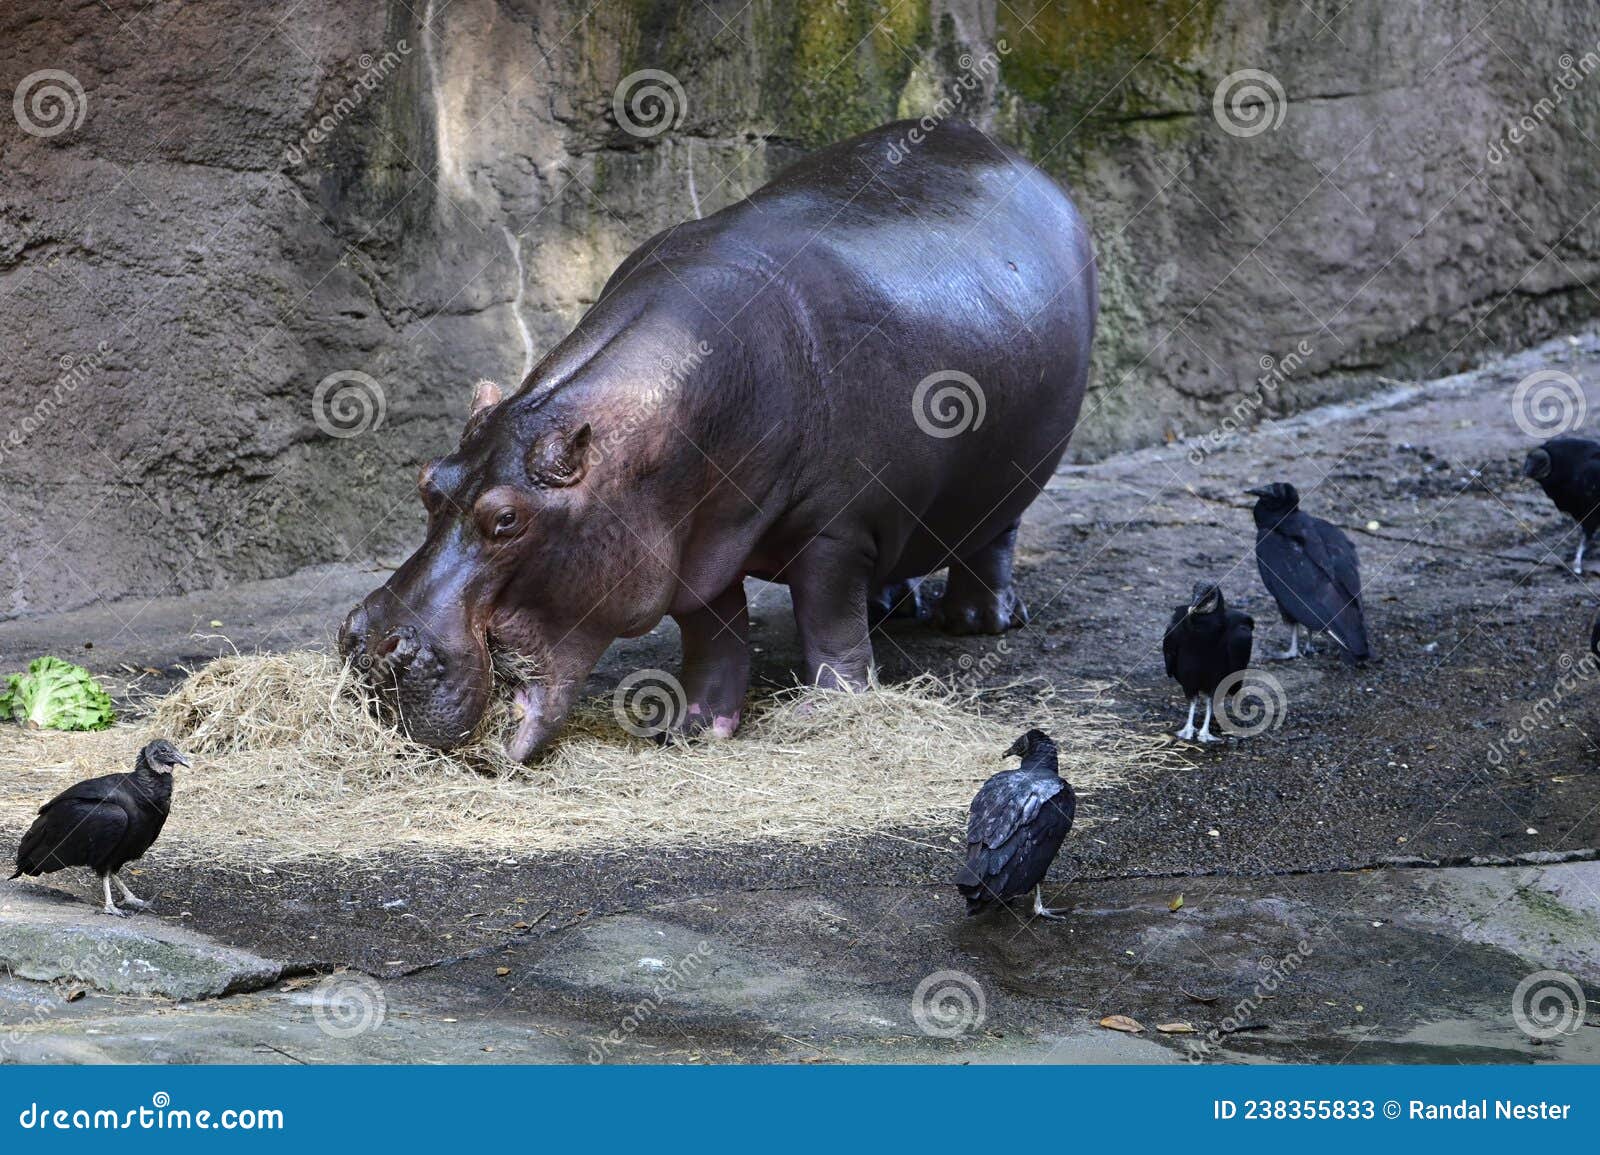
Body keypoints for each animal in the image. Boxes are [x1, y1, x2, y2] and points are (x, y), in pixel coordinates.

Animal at [339, 118, 1098, 761]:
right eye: (428, 481)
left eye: (506, 520)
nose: (367, 646)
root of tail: (1017, 158)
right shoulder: (693, 548)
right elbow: (713, 630)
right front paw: (694, 727)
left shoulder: (835, 530)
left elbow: (828, 621)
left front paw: (830, 712)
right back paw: (892, 605)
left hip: (1016, 470)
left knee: (993, 534)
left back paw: (976, 620)